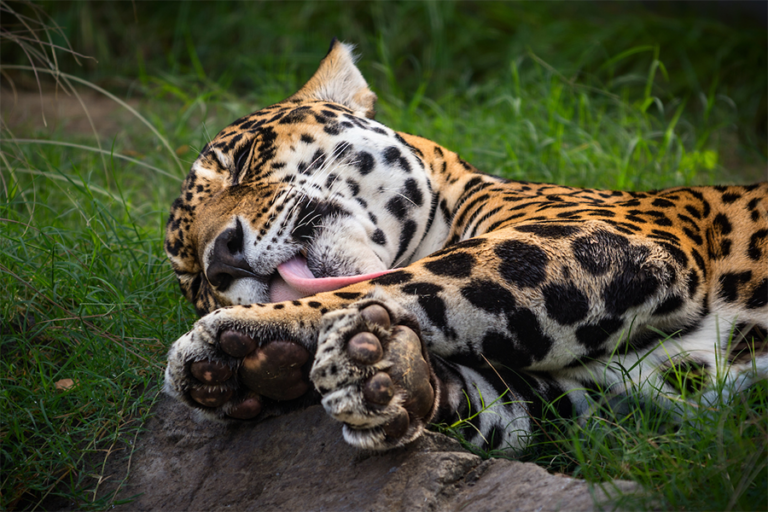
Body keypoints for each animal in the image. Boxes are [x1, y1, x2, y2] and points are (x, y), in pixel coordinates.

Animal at [164, 40, 768, 453]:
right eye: (194, 280)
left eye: (242, 161)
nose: (221, 259)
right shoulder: (598, 403)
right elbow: (507, 405)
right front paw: (387, 373)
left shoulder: (603, 240)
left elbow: (404, 281)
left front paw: (229, 342)